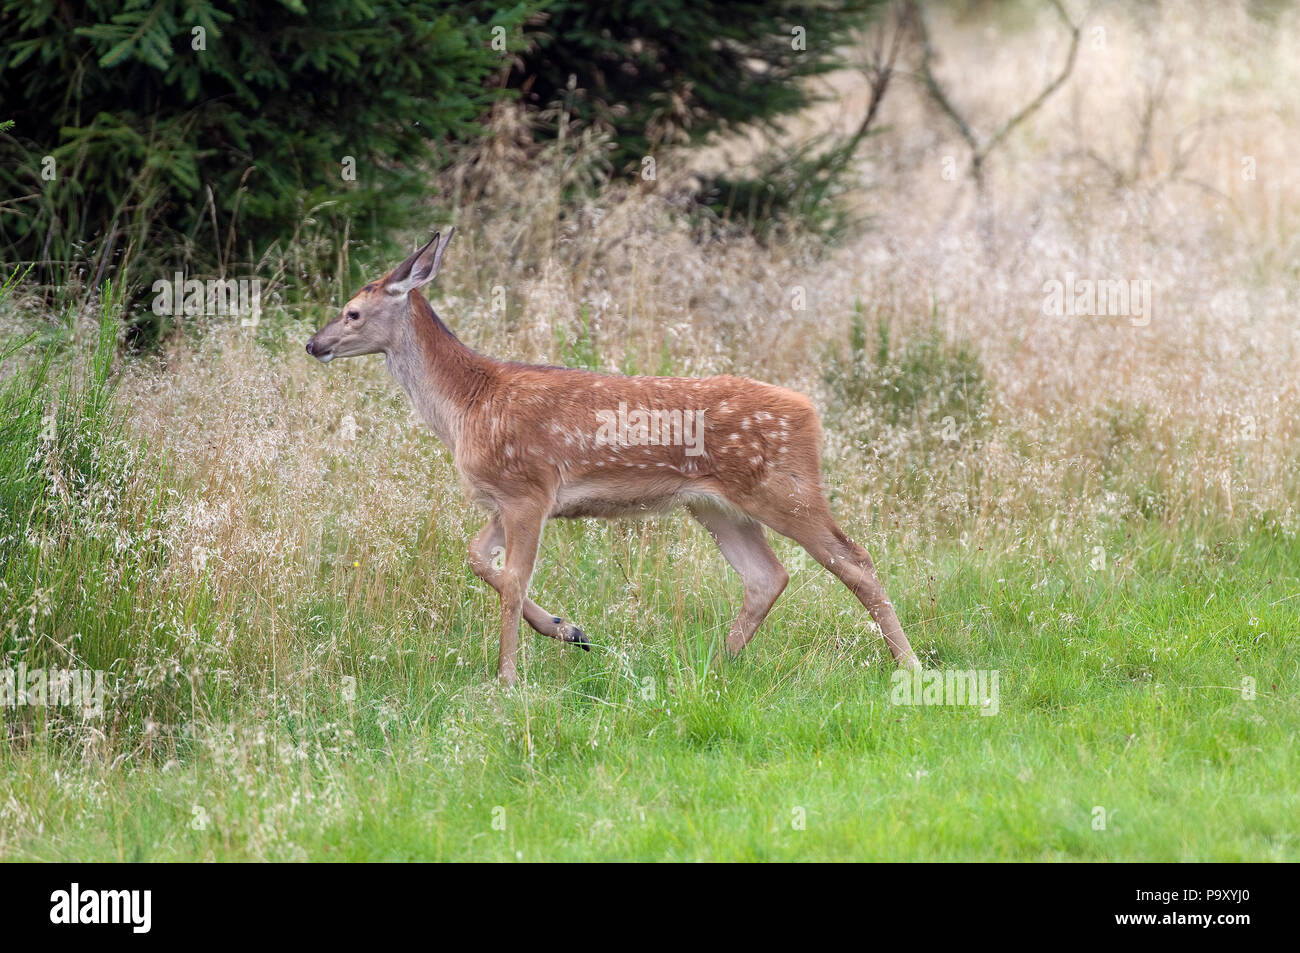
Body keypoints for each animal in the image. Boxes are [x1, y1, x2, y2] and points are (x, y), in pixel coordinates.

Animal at [305, 228, 920, 687]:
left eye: (352, 312)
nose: (313, 343)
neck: (468, 404)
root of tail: (810, 411)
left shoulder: (529, 489)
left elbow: (512, 580)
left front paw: (507, 678)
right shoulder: (505, 500)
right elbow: (477, 560)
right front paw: (568, 629)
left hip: (786, 487)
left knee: (855, 560)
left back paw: (909, 664)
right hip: (715, 506)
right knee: (768, 576)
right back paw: (718, 664)